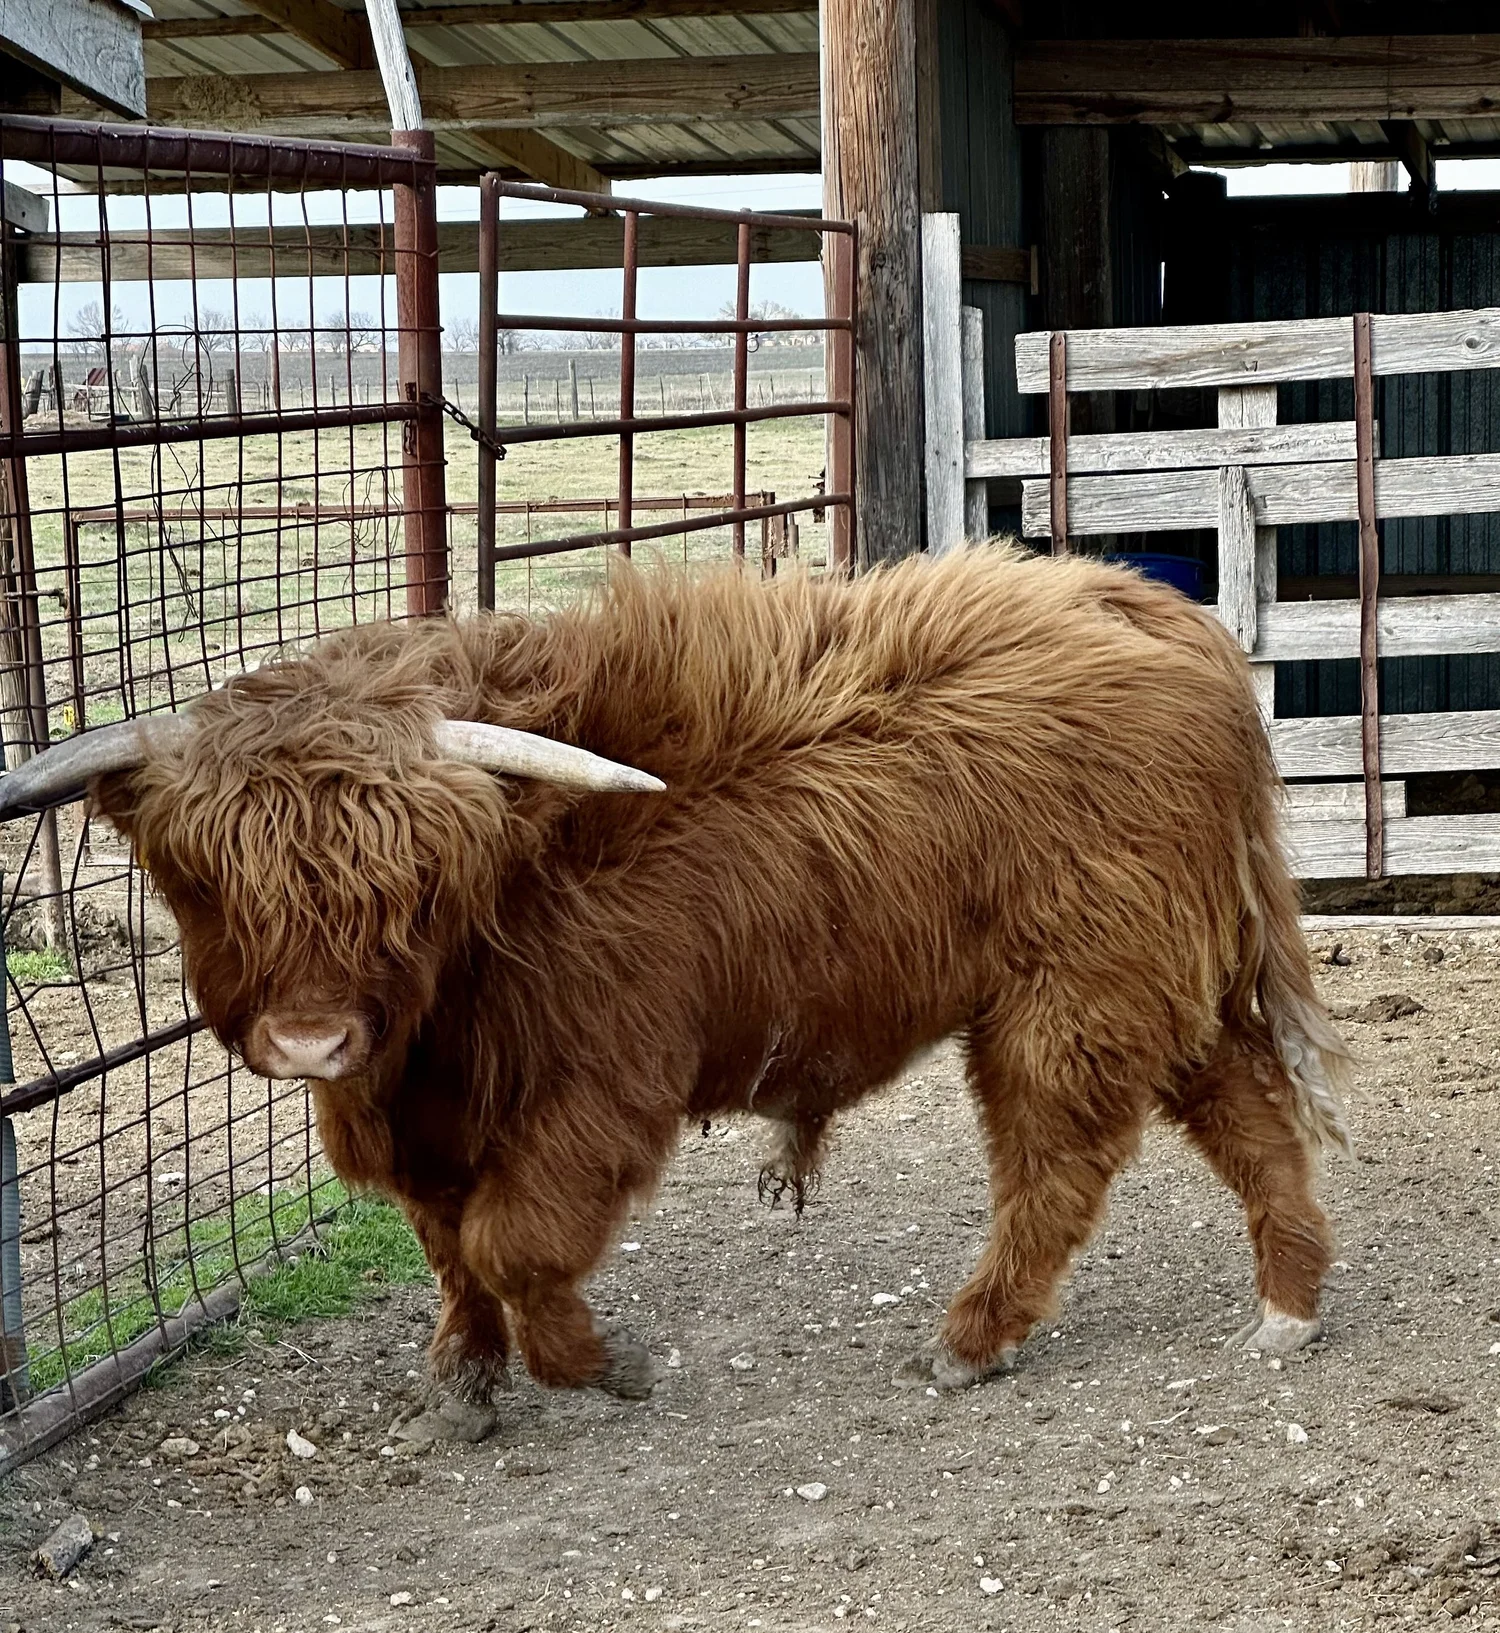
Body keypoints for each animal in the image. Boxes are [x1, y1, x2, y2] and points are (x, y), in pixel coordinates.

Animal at [0, 546, 1352, 1404]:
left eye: (408, 882)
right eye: (202, 877)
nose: (308, 1042)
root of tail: (1162, 618)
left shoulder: (599, 1088)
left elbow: (514, 1241)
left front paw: (596, 1365)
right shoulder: (419, 1120)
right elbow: (447, 1244)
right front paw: (464, 1370)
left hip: (1074, 995)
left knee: (1057, 1163)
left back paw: (971, 1340)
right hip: (1159, 981)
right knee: (1246, 1114)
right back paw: (1289, 1304)